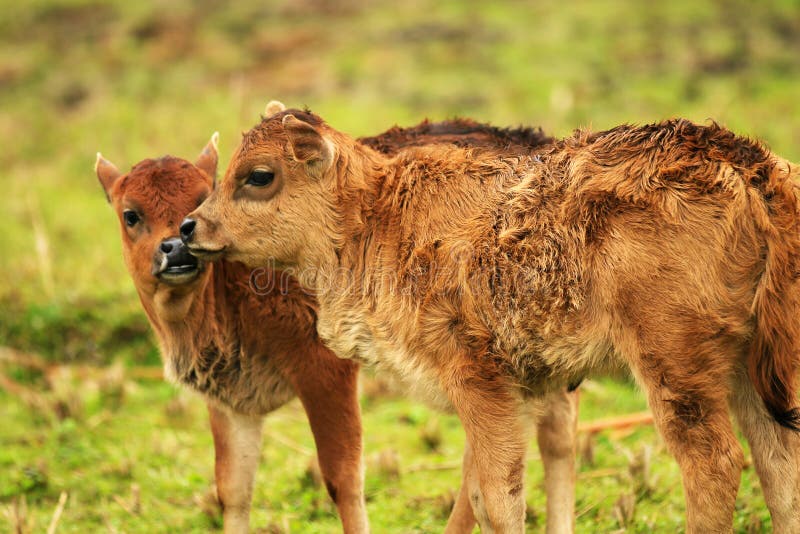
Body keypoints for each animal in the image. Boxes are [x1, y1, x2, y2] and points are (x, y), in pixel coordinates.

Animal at [183, 101, 800, 533]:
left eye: (259, 176)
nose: (190, 228)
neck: (377, 215)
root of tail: (746, 164)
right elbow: (484, 495)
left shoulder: (481, 384)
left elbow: (499, 498)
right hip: (751, 367)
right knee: (779, 465)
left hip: (677, 368)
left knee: (716, 466)